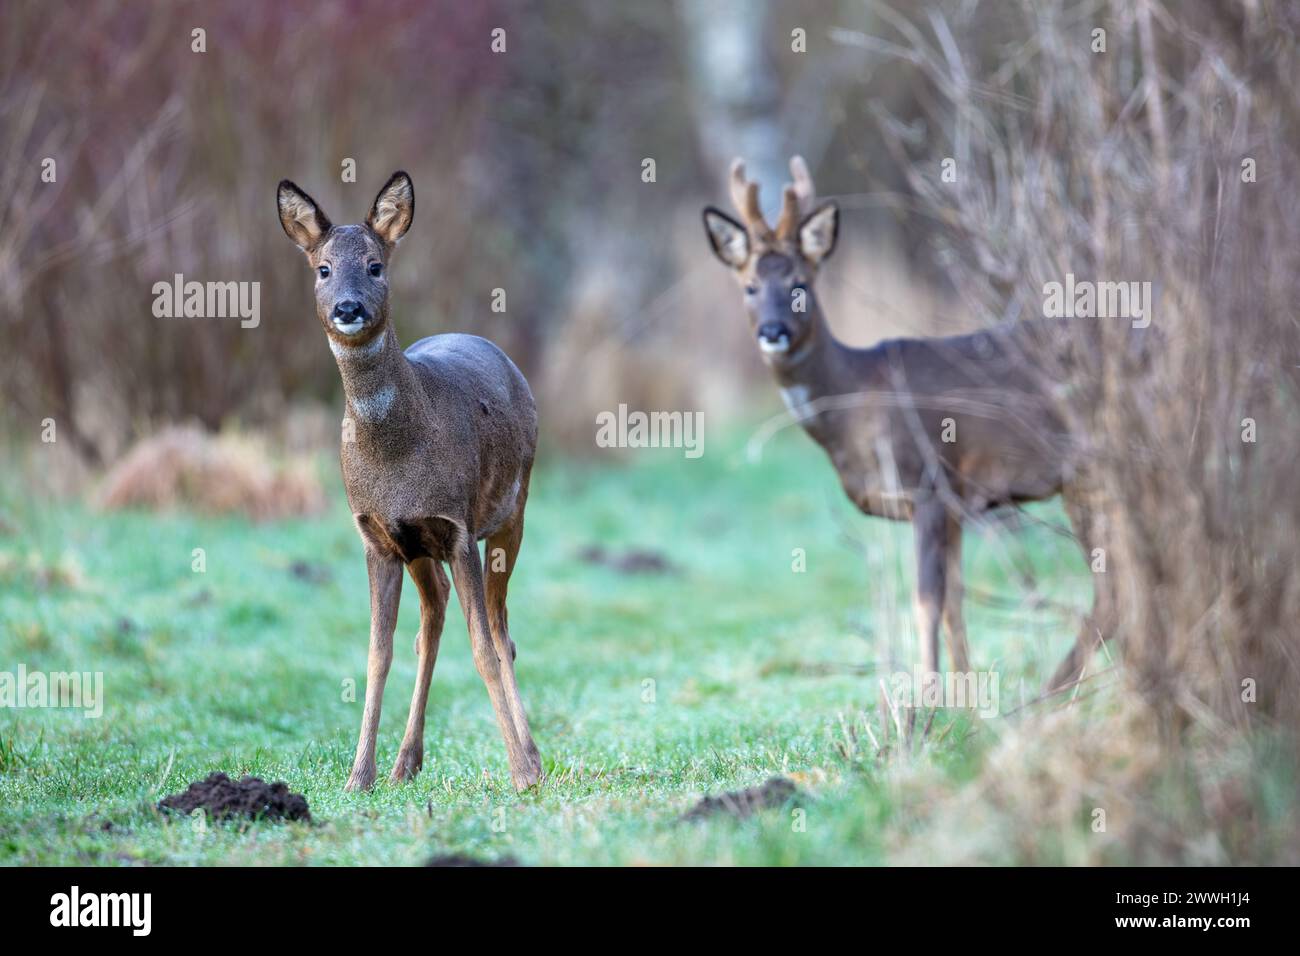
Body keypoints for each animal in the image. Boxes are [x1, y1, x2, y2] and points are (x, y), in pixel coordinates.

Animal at [277, 171, 542, 791]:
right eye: (323, 268)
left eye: (376, 265)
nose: (348, 307)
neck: (396, 457)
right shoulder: (378, 536)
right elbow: (378, 654)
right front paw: (358, 776)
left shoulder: (456, 527)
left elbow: (483, 649)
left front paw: (521, 774)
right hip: (419, 548)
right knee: (433, 618)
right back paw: (405, 763)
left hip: (512, 513)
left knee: (501, 630)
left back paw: (532, 757)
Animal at [702, 156, 1120, 695]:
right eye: (750, 286)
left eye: (800, 284)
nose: (772, 332)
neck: (855, 402)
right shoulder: (957, 504)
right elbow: (955, 603)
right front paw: (966, 703)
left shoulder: (928, 484)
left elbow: (926, 602)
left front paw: (926, 704)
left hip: (1092, 474)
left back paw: (1051, 694)